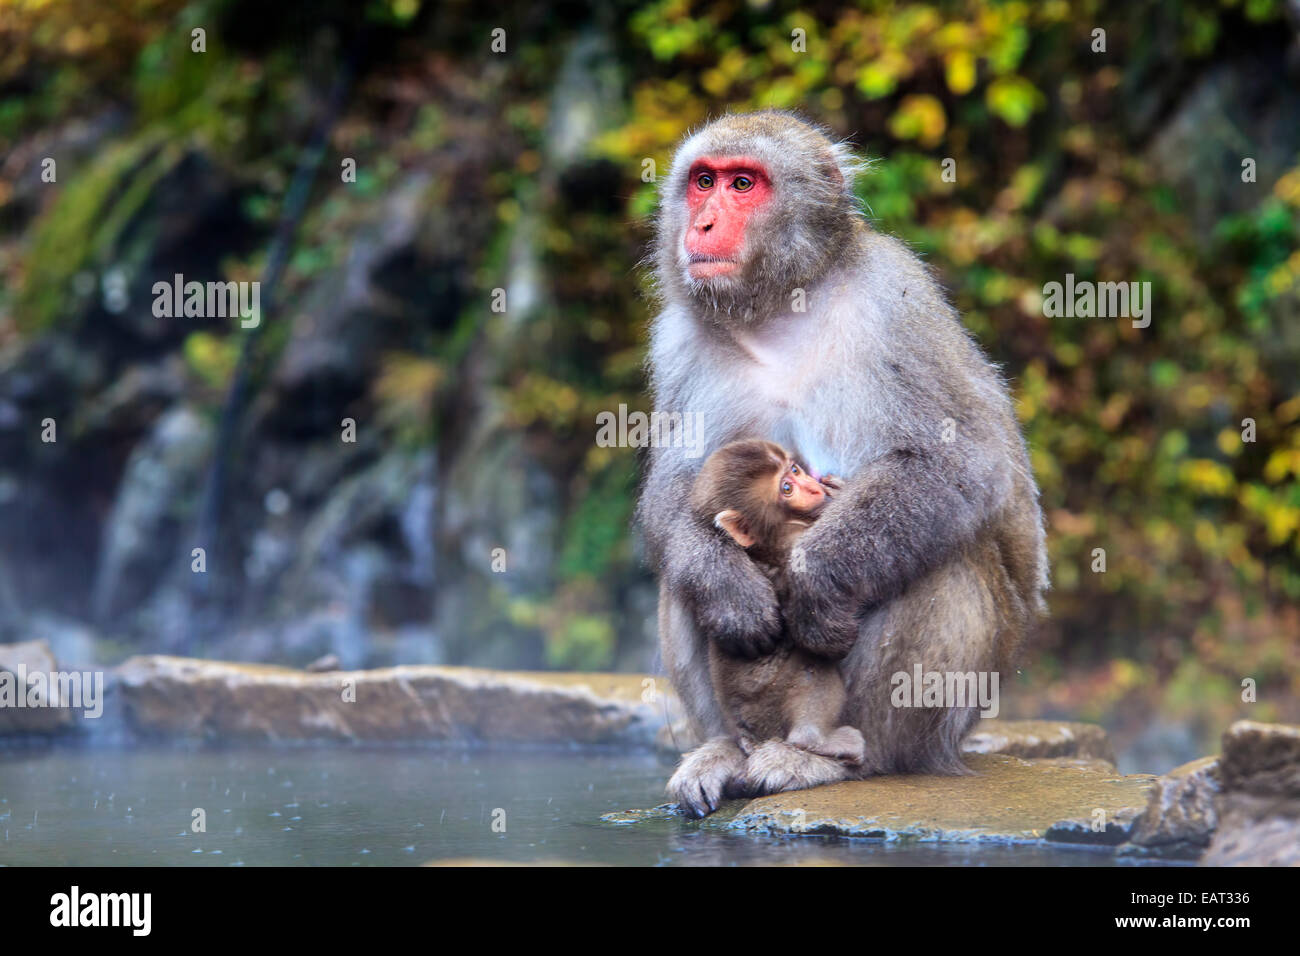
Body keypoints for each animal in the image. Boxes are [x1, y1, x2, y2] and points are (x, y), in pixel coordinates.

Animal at [690, 438, 866, 770]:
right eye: (787, 488)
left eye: (794, 470)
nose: (812, 488)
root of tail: (746, 733)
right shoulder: (792, 540)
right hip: (770, 705)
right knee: (812, 667)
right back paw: (814, 740)